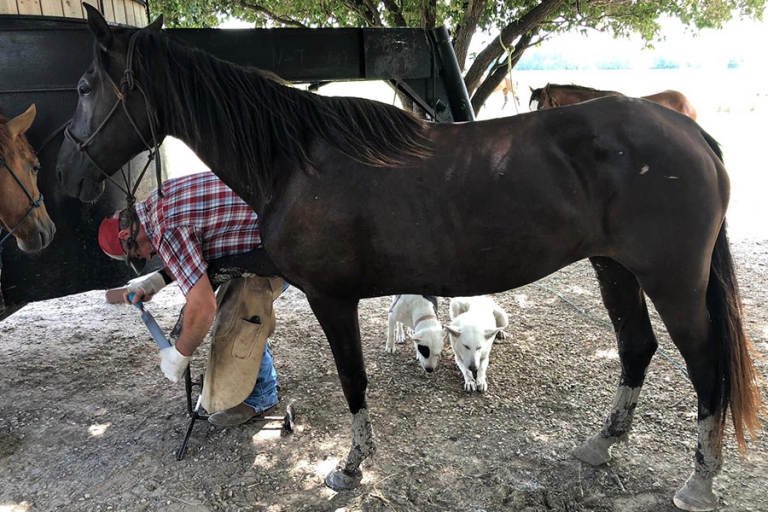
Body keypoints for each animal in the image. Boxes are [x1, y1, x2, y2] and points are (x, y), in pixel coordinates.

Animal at [56, 8, 763, 511]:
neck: (295, 160)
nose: (66, 172)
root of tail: (688, 130)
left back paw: (699, 480)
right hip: (614, 268)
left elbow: (353, 381)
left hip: (673, 281)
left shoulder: (331, 297)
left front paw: (350, 466)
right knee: (636, 346)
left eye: (87, 86)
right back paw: (600, 444)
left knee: (706, 365)